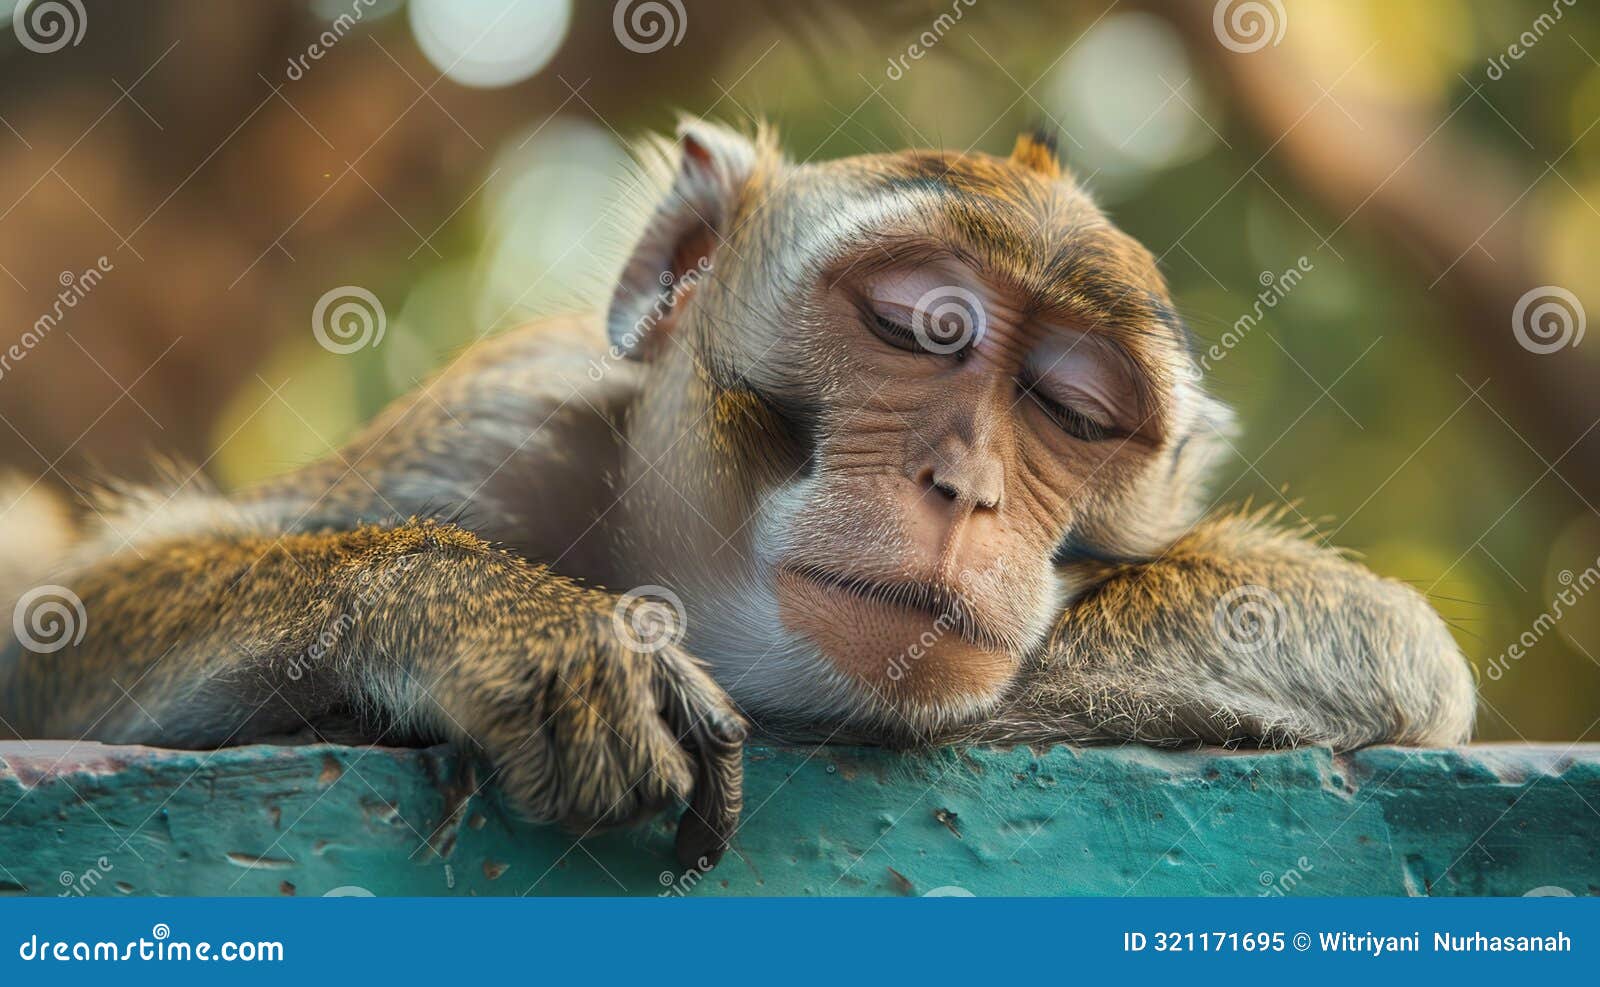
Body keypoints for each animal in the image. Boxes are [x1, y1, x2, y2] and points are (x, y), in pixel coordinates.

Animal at [0, 119, 1475, 872]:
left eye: (1076, 412)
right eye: (918, 326)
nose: (968, 486)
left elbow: (1398, 646)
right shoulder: (506, 425)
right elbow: (54, 634)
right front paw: (492, 618)